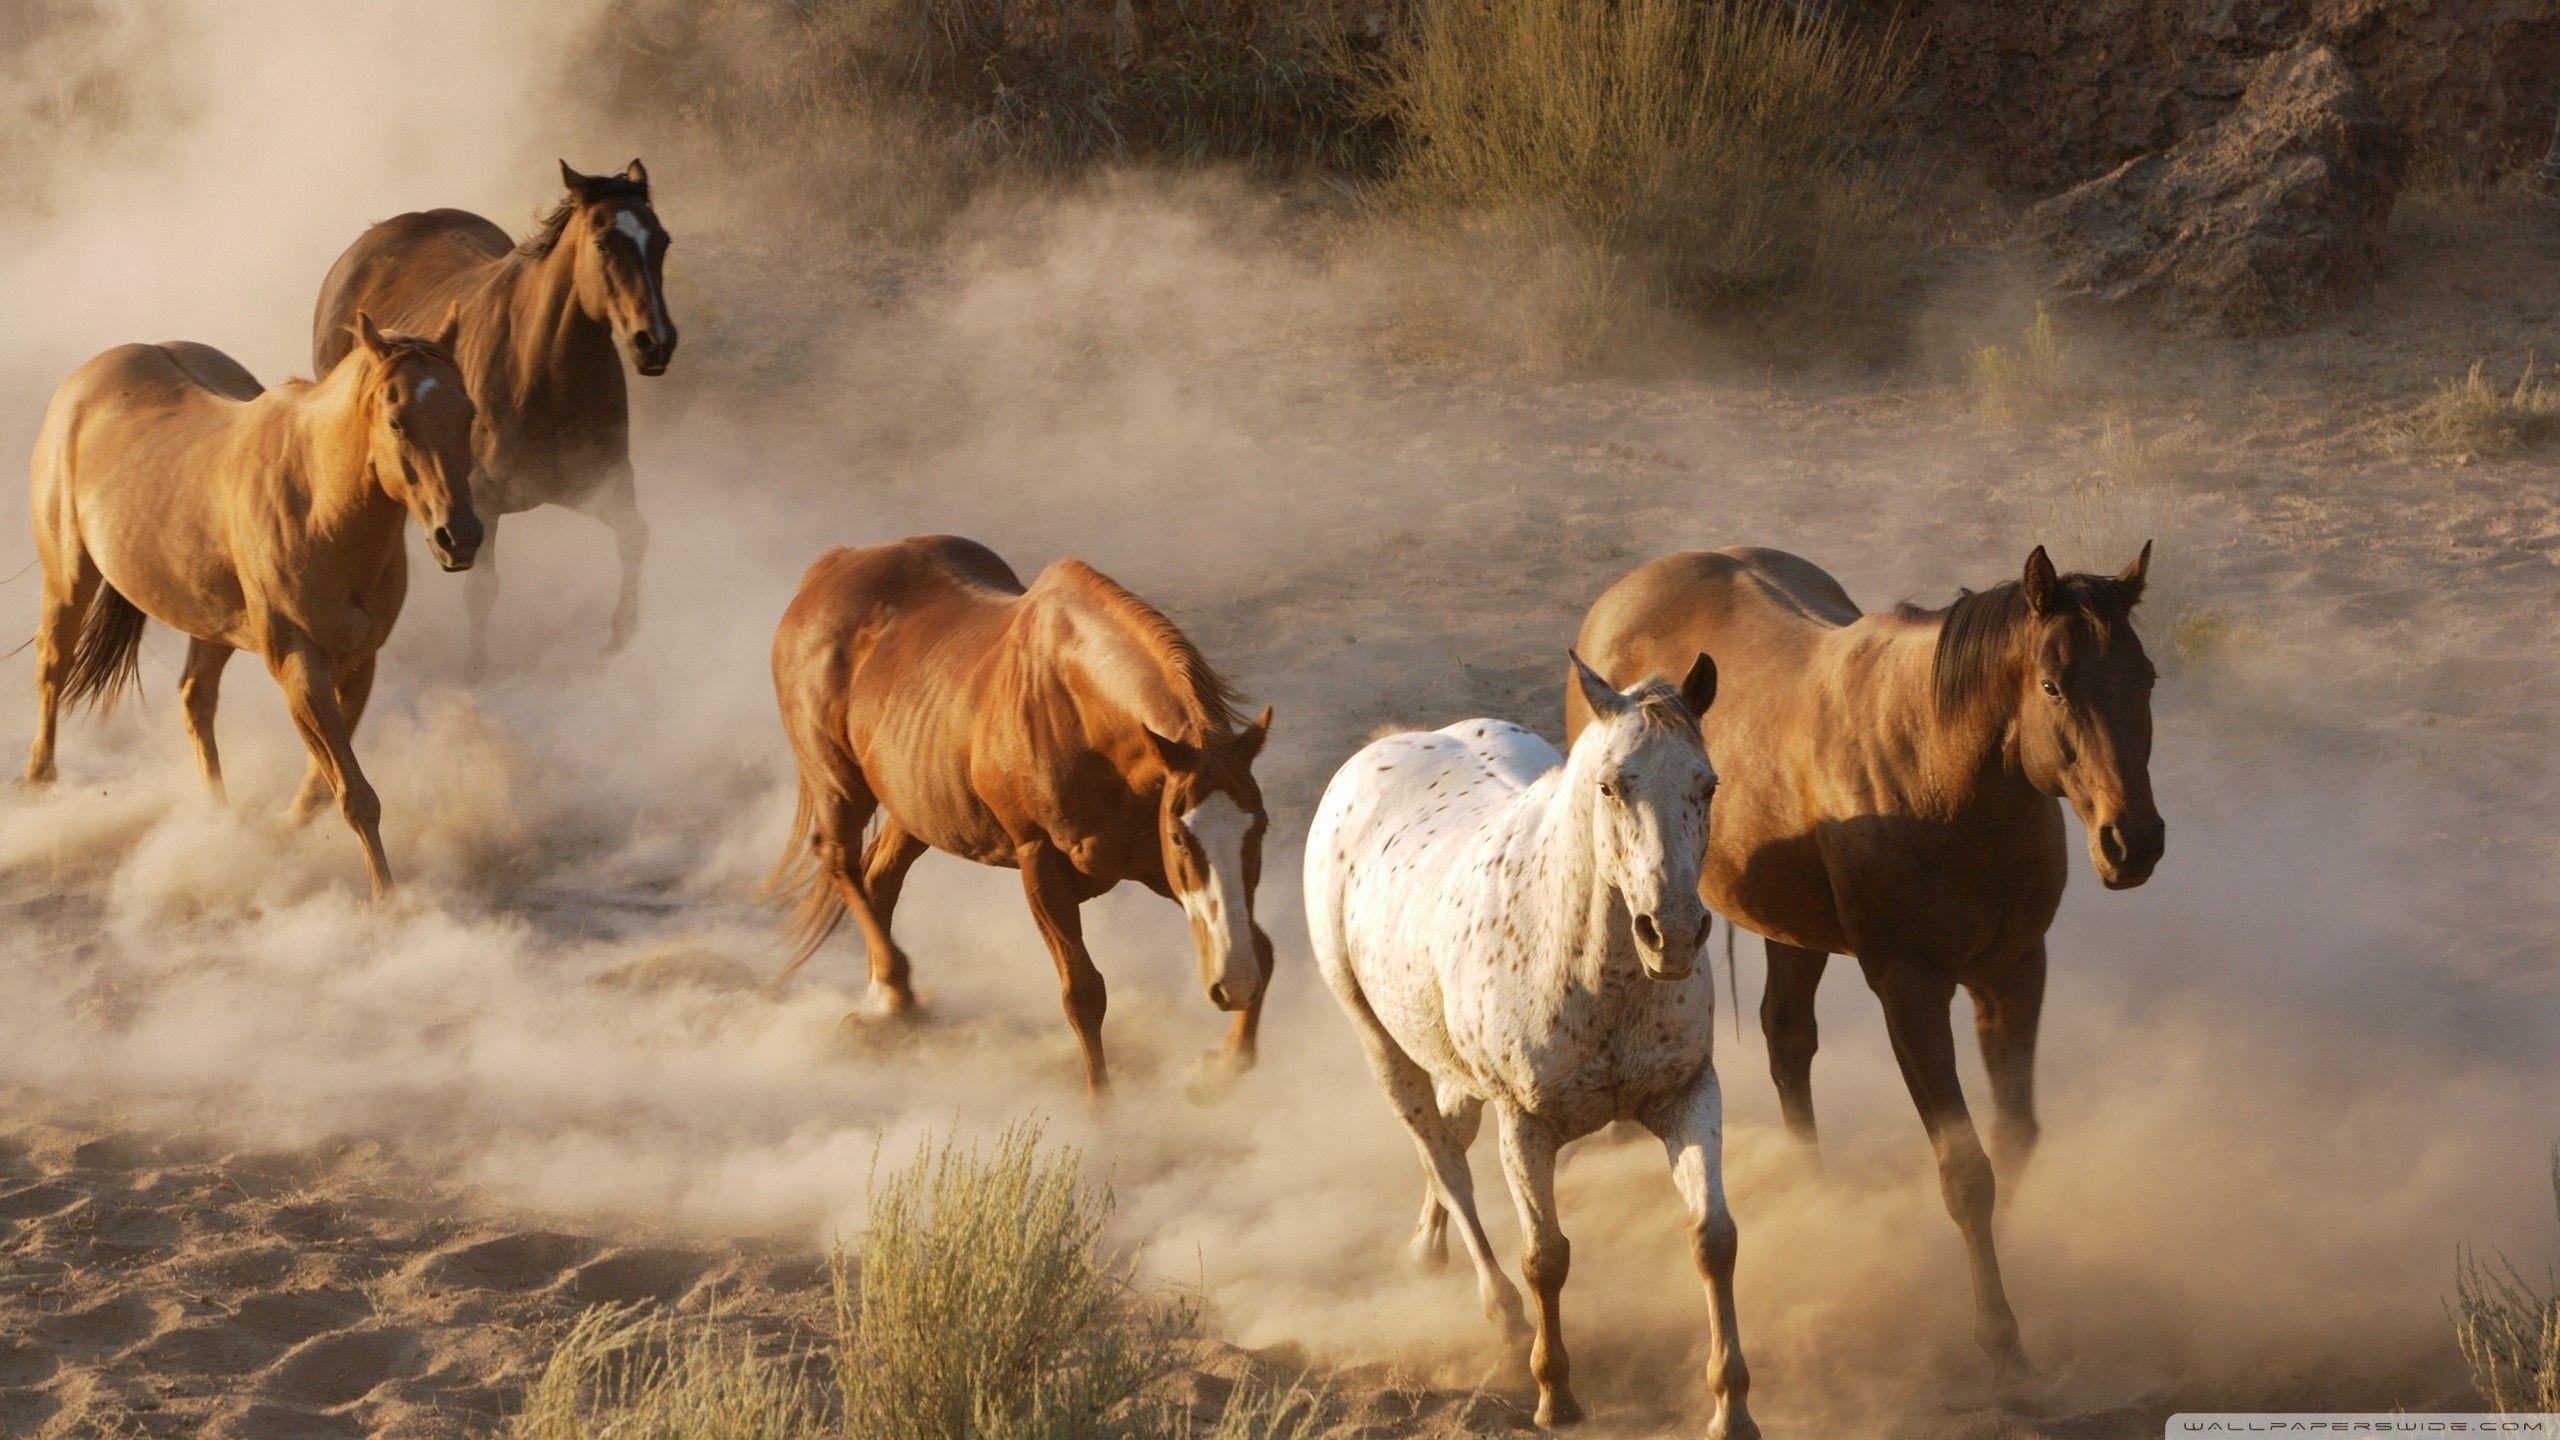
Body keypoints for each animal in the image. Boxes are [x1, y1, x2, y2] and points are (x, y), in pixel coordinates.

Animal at [24, 313, 482, 898]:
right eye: (398, 422)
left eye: (468, 413)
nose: (459, 538)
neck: (318, 506)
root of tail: (85, 379)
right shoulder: (298, 665)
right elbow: (355, 795)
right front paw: (388, 901)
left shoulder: (358, 664)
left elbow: (325, 789)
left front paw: (280, 832)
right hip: (68, 577)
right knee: (53, 667)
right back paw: (40, 785)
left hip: (210, 622)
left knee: (194, 699)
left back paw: (219, 820)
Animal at [311, 159, 676, 670]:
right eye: (604, 243)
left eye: (661, 240)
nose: (655, 342)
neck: (541, 372)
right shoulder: (478, 502)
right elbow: (481, 590)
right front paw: (477, 668)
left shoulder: (602, 483)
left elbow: (634, 536)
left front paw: (622, 638)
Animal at [765, 535, 1277, 1097]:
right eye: (1181, 837)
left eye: (1260, 829)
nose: (1233, 984)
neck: (1078, 711)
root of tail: (833, 566)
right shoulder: (1042, 864)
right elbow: (1083, 994)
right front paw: (1103, 1109)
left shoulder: (1149, 865)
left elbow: (1263, 947)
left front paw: (1219, 1068)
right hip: (839, 784)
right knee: (839, 861)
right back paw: (893, 993)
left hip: (914, 806)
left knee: (879, 877)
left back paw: (883, 1003)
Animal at [1305, 654, 1752, 1438]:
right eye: (1611, 785)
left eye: (1707, 784)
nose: (1671, 934)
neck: (1592, 972)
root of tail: (1386, 746)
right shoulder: (1527, 1124)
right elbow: (1546, 1258)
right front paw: (1556, 1395)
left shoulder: (1687, 1093)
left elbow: (1712, 1239)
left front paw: (1731, 1407)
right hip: (1379, 1042)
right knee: (1444, 1159)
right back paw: (1501, 1313)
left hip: (1450, 1059)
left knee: (1451, 1135)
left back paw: (1427, 1245)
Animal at [1568, 543, 2164, 1377]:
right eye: (2053, 684)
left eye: (2146, 678)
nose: (2132, 842)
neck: (1942, 777)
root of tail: (1624, 595)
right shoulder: (1909, 991)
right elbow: (1965, 1170)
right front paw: (1998, 1335)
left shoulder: (2014, 972)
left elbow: (2014, 1138)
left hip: (1793, 931)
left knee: (1788, 1040)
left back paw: (1816, 1191)